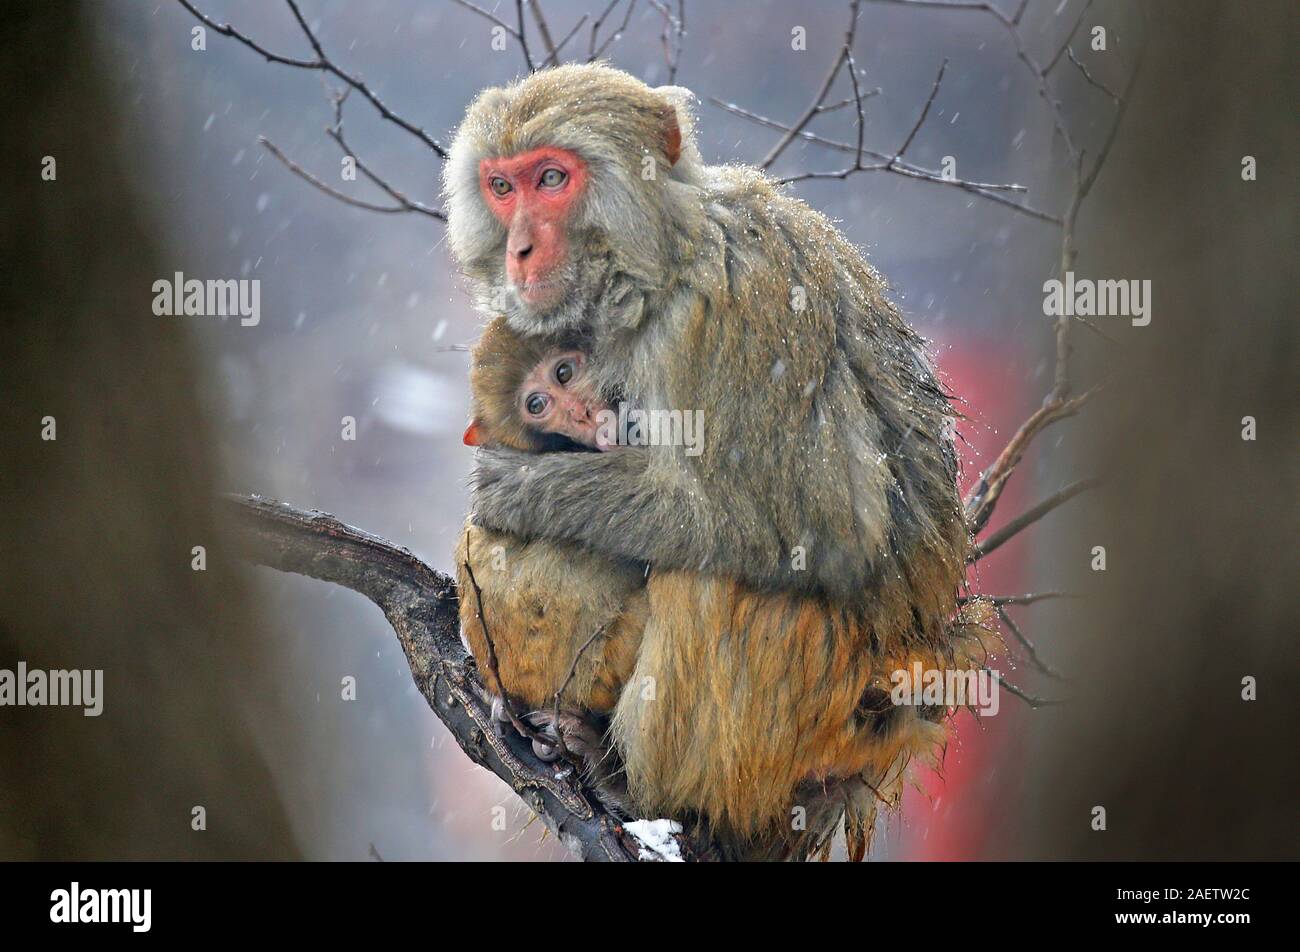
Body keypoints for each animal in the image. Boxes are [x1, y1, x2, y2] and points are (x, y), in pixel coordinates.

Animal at [444, 64, 977, 858]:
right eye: (502, 187)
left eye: (551, 178)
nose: (519, 251)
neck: (661, 267)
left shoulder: (733, 308)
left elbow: (824, 531)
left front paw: (527, 489)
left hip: (824, 706)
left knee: (716, 580)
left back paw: (646, 792)